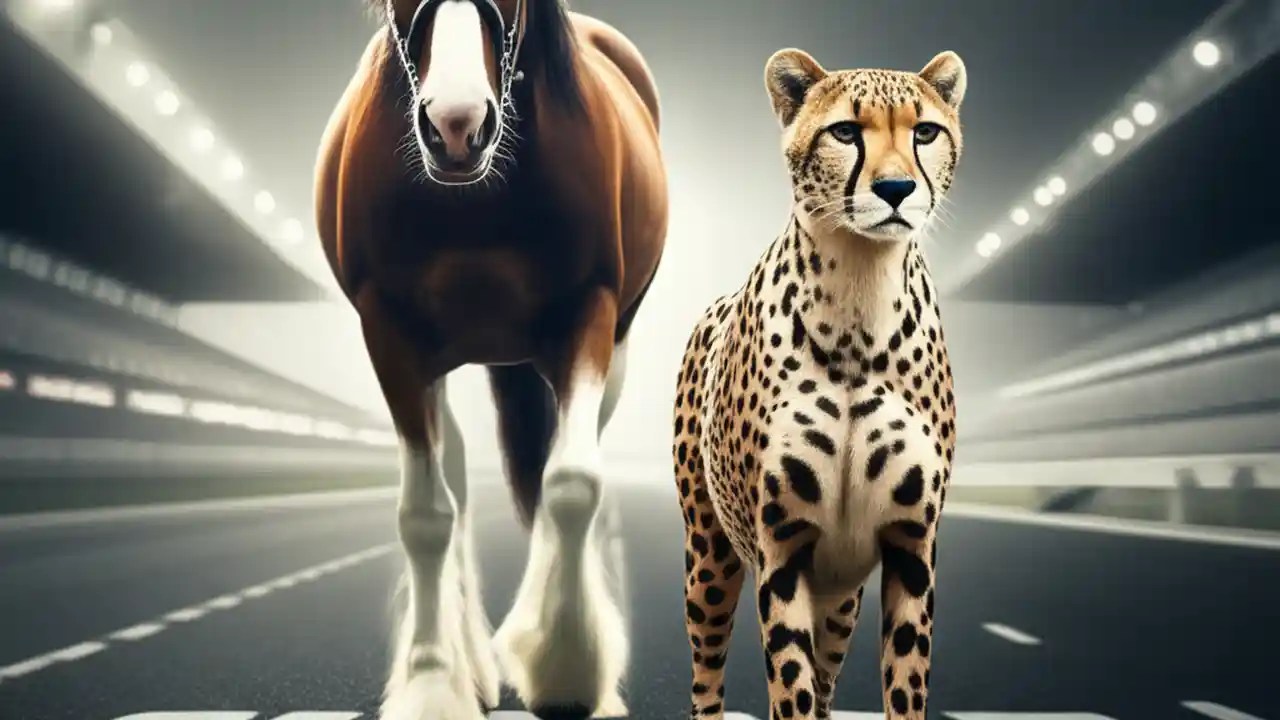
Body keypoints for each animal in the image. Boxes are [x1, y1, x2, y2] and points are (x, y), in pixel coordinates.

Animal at [314, 0, 667, 717]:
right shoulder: (390, 334)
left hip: (610, 346)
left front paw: (567, 666)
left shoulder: (588, 314)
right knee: (454, 475)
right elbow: (426, 515)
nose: (456, 127)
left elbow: (570, 484)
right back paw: (469, 663)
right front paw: (429, 682)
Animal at [671, 46, 966, 720]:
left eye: (925, 132)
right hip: (709, 558)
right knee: (707, 669)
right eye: (846, 132)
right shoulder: (782, 547)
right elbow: (790, 682)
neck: (860, 292)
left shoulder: (911, 545)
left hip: (841, 593)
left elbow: (904, 680)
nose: (896, 189)